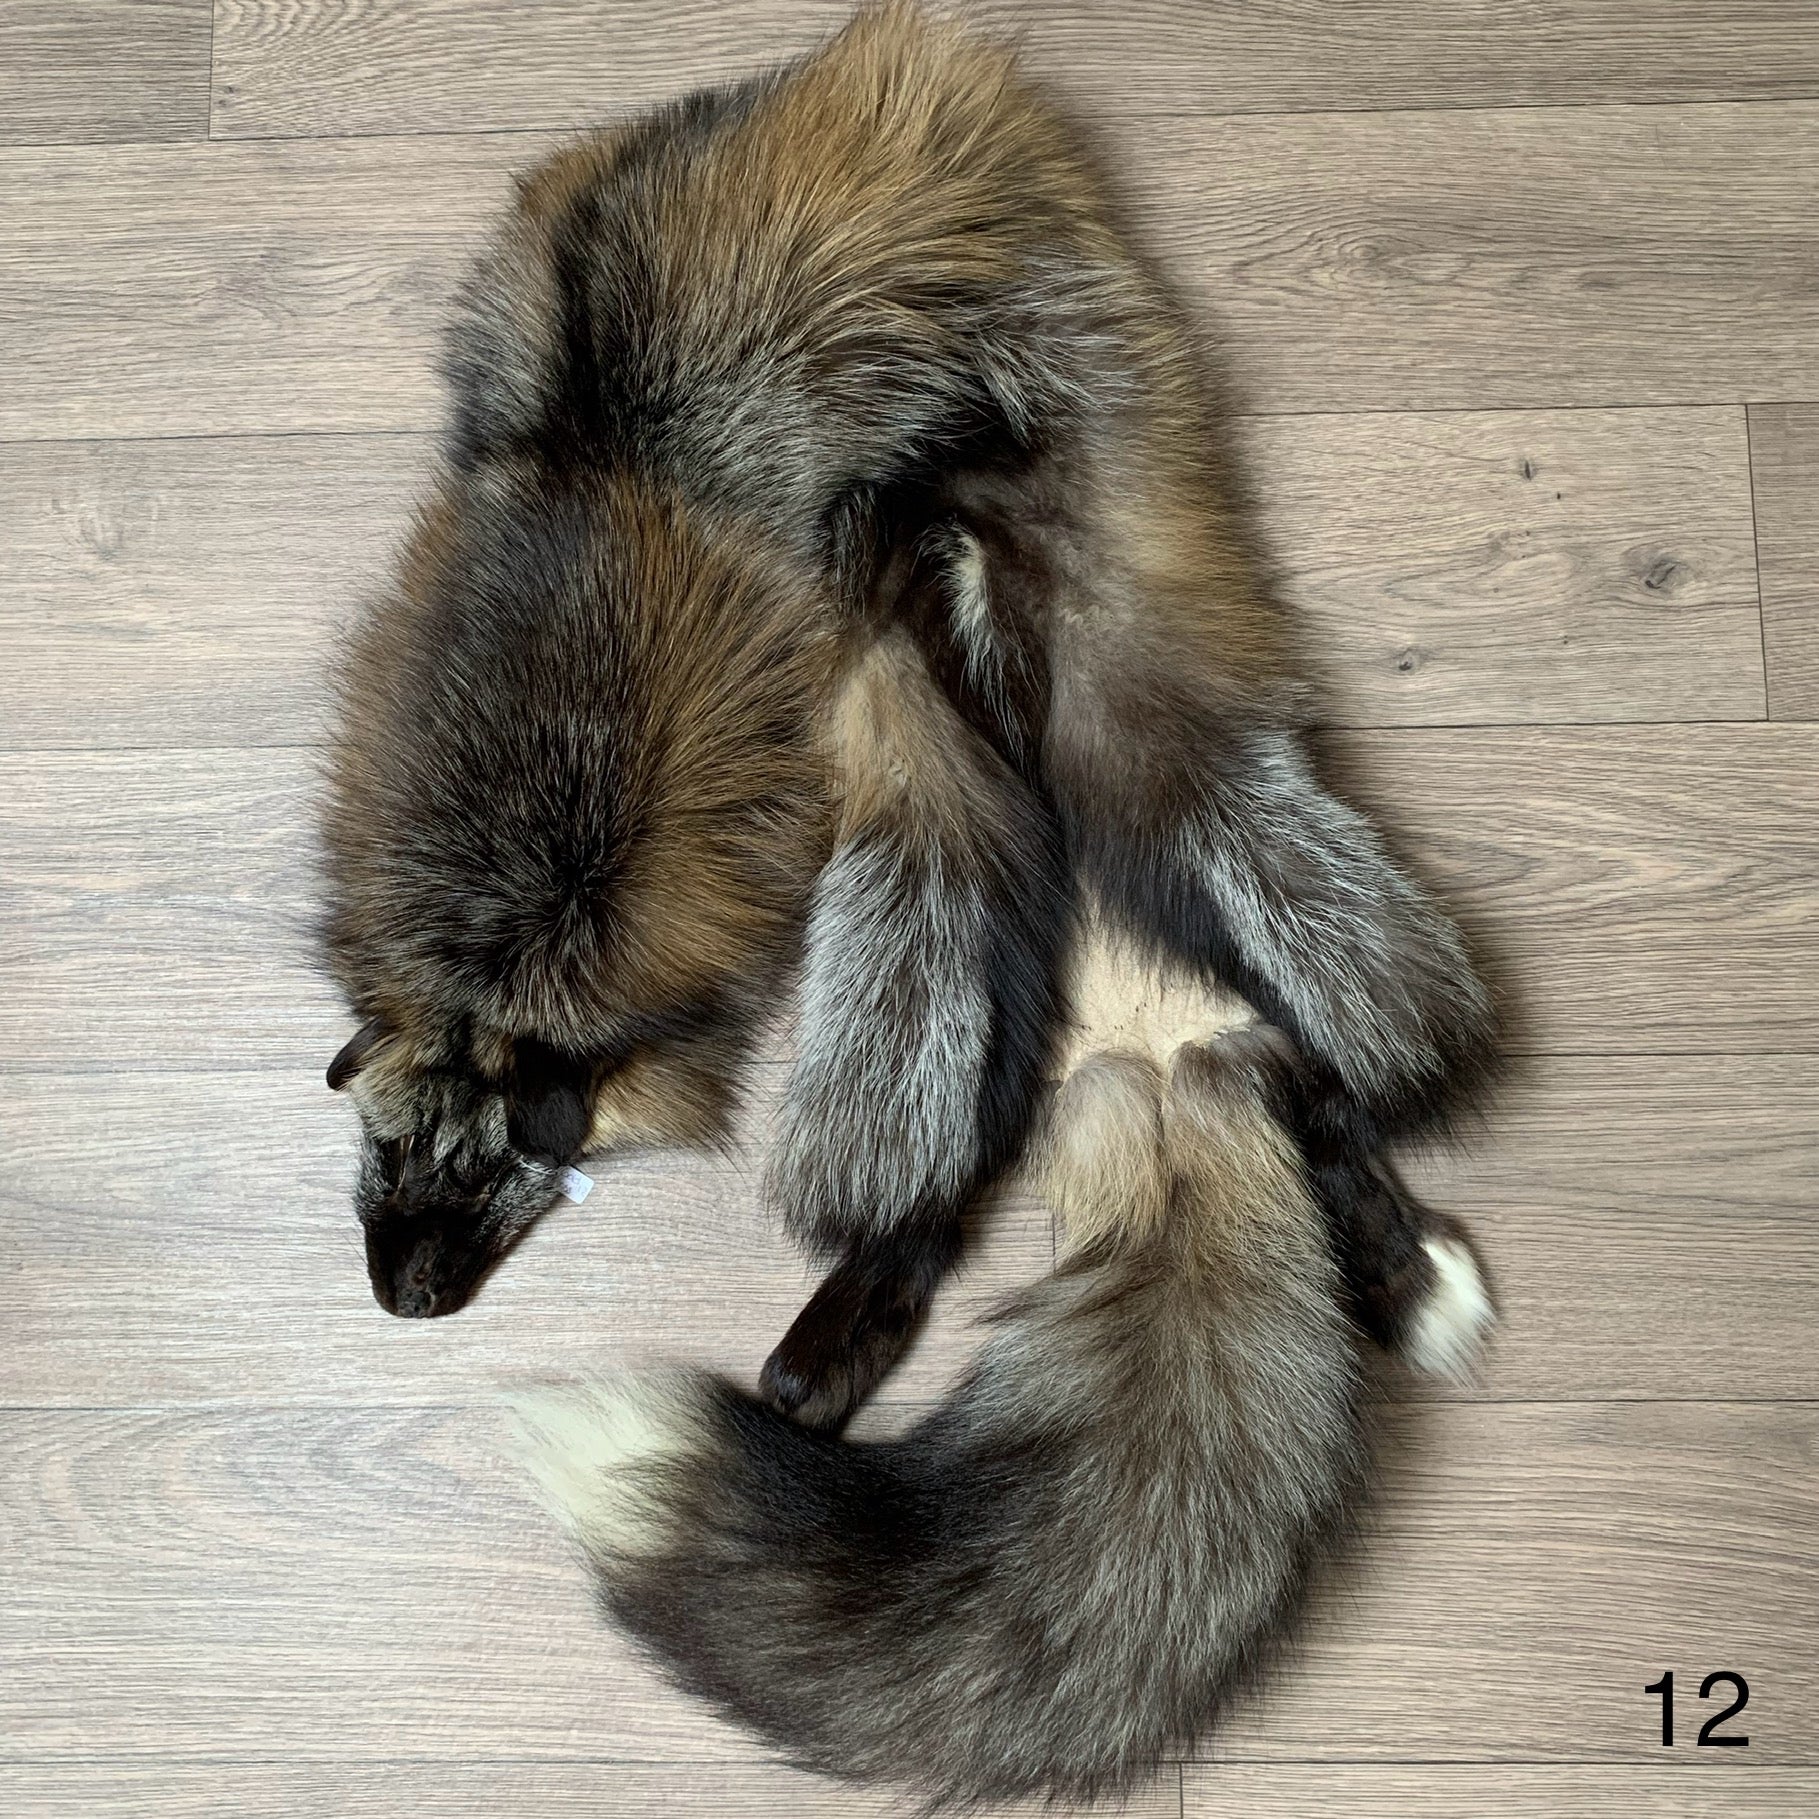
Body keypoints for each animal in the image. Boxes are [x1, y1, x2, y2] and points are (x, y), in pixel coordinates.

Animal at [318, 3, 1497, 1801]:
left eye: (501, 1173)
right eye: (385, 1158)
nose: (401, 1302)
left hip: (1048, 639)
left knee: (1289, 1049)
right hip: (998, 848)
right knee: (1140, 1110)